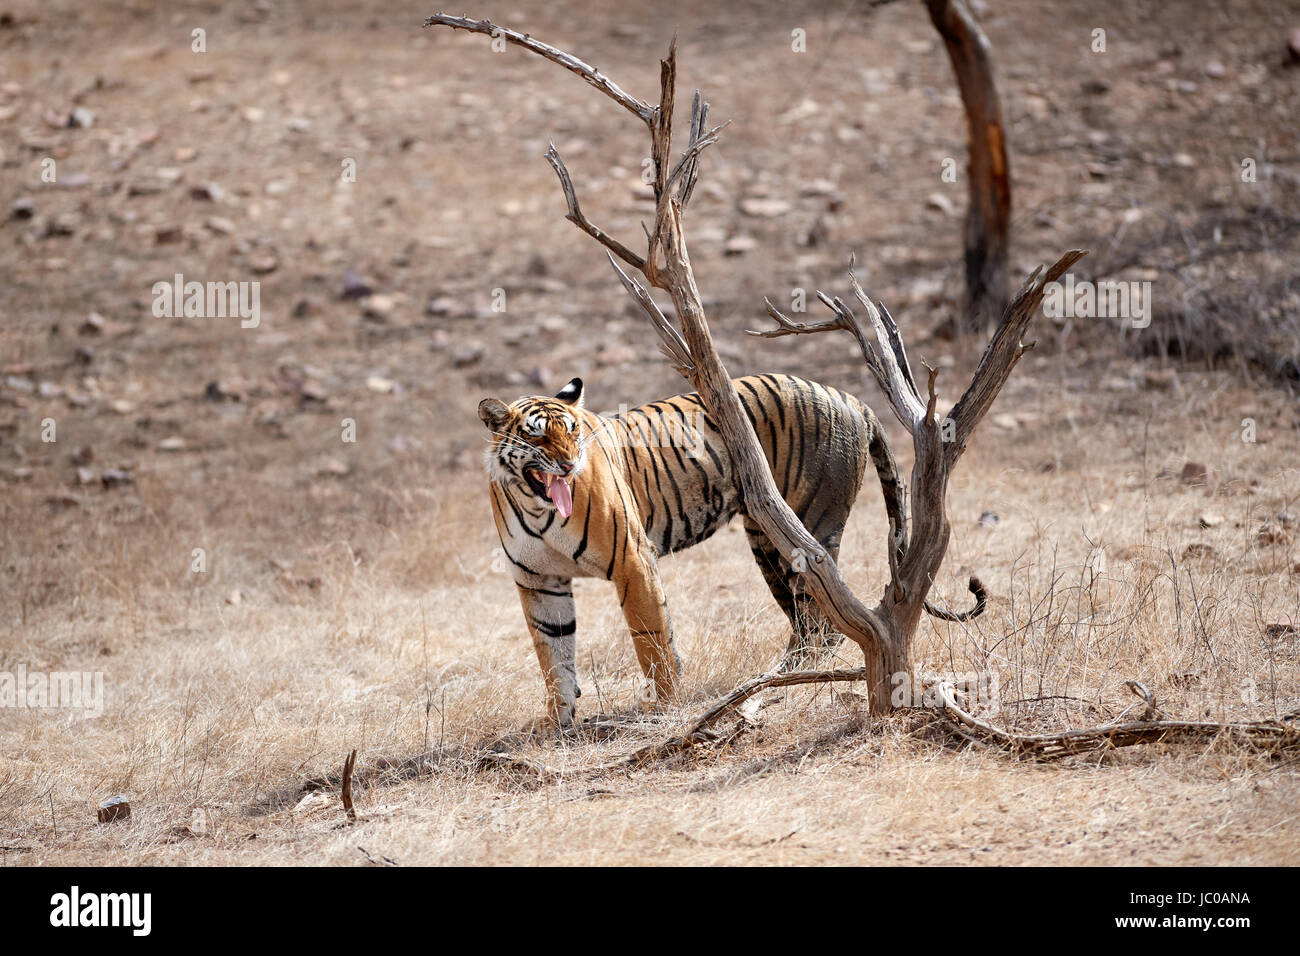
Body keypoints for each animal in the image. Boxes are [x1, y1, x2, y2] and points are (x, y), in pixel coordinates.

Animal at [478, 372, 981, 731]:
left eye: (573, 431)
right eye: (537, 436)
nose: (568, 464)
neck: (537, 505)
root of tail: (846, 396)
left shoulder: (632, 562)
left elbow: (651, 641)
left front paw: (666, 708)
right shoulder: (539, 583)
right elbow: (553, 655)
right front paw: (556, 722)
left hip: (808, 529)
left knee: (824, 626)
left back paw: (779, 685)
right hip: (767, 541)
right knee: (811, 625)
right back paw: (775, 678)